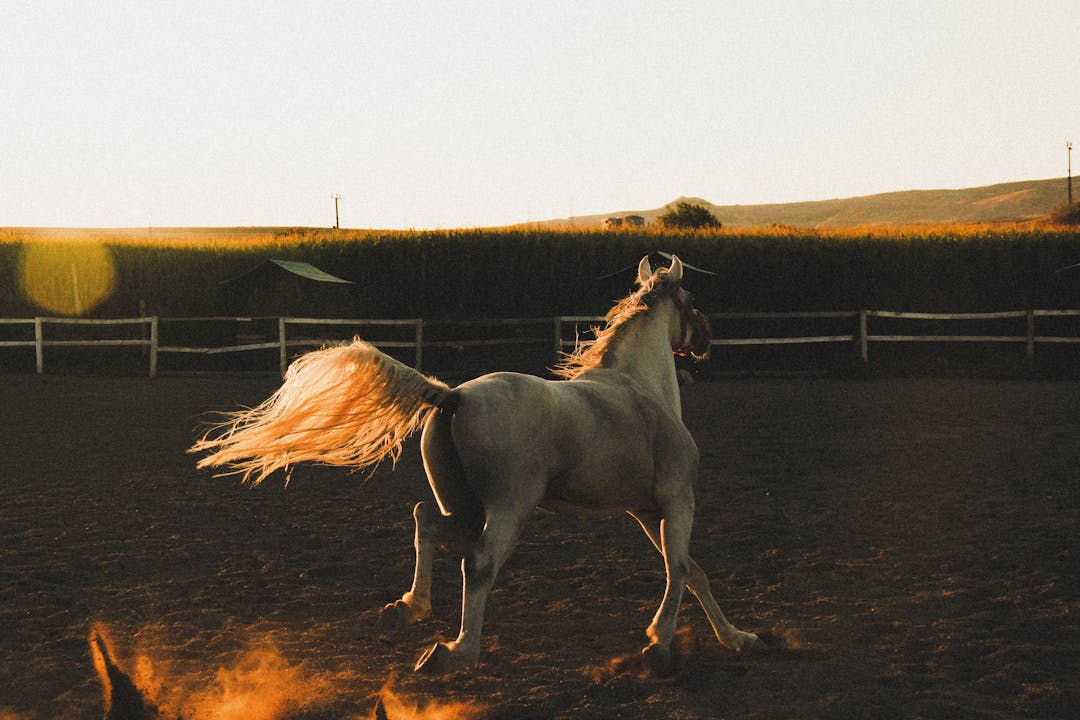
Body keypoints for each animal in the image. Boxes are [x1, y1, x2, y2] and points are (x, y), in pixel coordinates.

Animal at [191, 255, 761, 674]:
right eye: (692, 300)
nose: (706, 341)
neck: (642, 389)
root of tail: (455, 397)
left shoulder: (644, 510)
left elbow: (693, 571)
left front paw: (738, 638)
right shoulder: (676, 499)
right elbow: (682, 567)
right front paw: (658, 644)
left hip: (464, 505)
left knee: (428, 523)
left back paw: (408, 609)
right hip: (510, 508)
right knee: (480, 561)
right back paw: (455, 651)